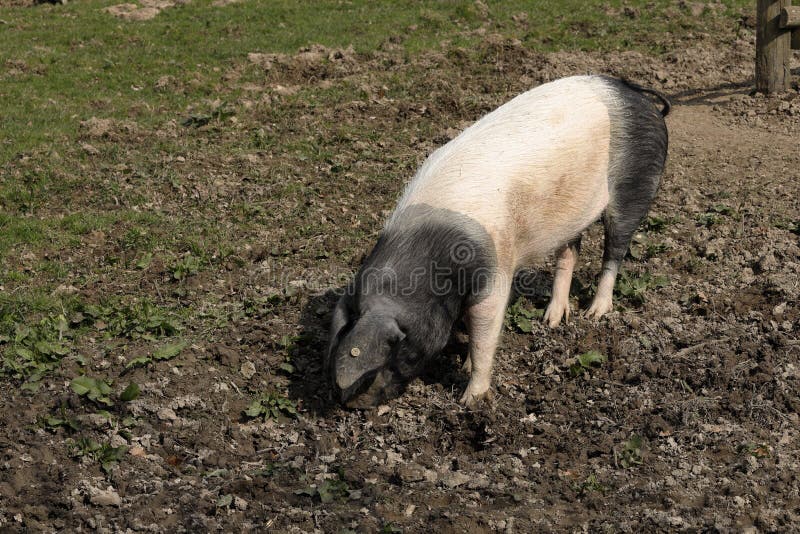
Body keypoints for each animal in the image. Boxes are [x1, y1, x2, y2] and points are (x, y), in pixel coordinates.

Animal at [327, 75, 670, 408]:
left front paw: (470, 400)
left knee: (615, 250)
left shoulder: (494, 275)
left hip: (636, 186)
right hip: (573, 212)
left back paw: (595, 313)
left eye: (403, 349)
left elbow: (484, 333)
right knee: (569, 253)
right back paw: (552, 320)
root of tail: (640, 98)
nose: (354, 405)